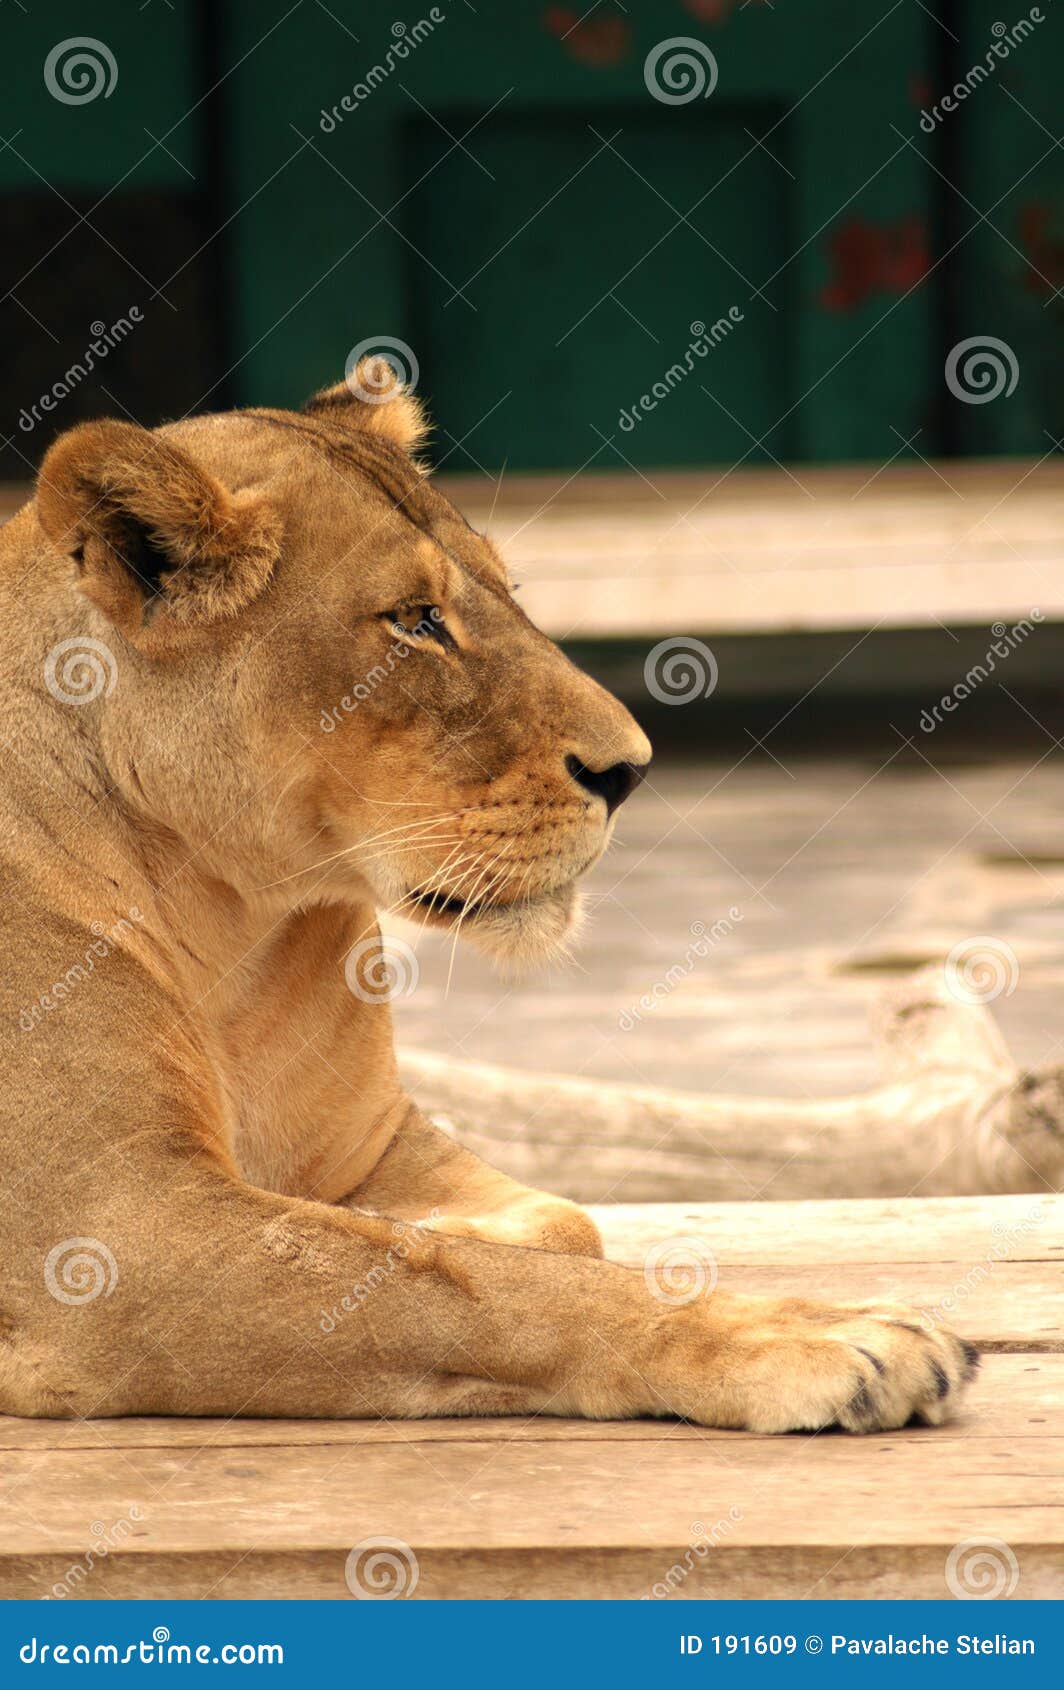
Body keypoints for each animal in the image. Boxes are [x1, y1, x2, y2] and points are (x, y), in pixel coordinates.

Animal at [0, 359, 977, 1433]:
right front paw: (823, 1336)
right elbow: (480, 1285)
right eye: (416, 620)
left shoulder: (370, 1141)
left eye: (510, 591)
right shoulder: (112, 1233)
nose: (631, 770)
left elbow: (545, 1229)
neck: (234, 930)